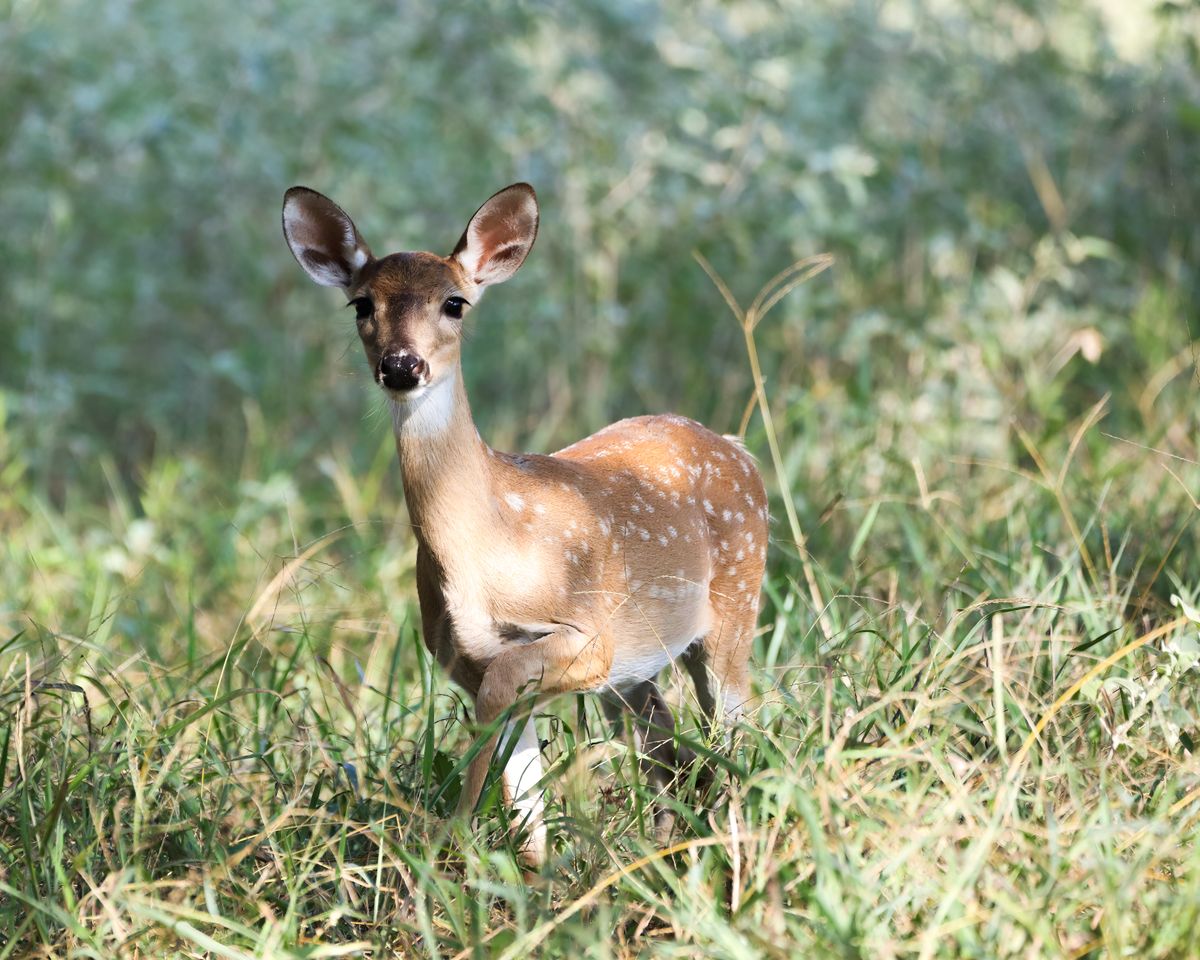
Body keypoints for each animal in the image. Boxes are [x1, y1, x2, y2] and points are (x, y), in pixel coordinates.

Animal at [281, 182, 768, 866]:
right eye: (361, 304)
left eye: (454, 303)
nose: (401, 366)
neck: (486, 552)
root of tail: (738, 448)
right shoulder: (462, 660)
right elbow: (523, 792)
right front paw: (527, 877)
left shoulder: (588, 632)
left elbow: (503, 702)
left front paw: (452, 833)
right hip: (640, 668)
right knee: (666, 751)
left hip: (732, 607)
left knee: (741, 728)